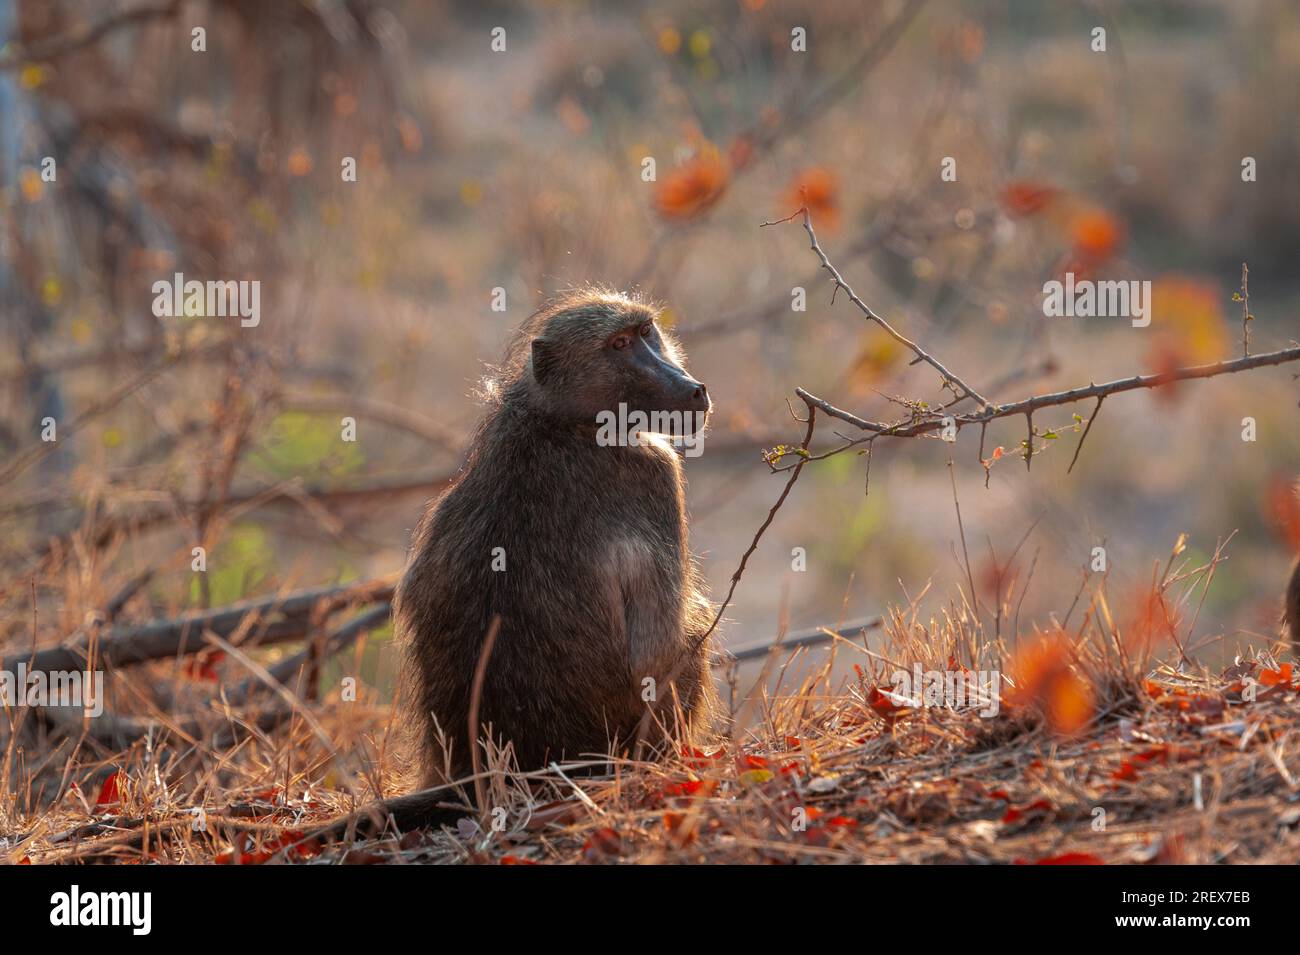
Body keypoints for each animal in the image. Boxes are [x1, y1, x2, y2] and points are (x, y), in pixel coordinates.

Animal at [393, 288, 719, 795]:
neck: (557, 421)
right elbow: (657, 653)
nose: (691, 388)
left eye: (647, 332)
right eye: (619, 345)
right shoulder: (656, 471)